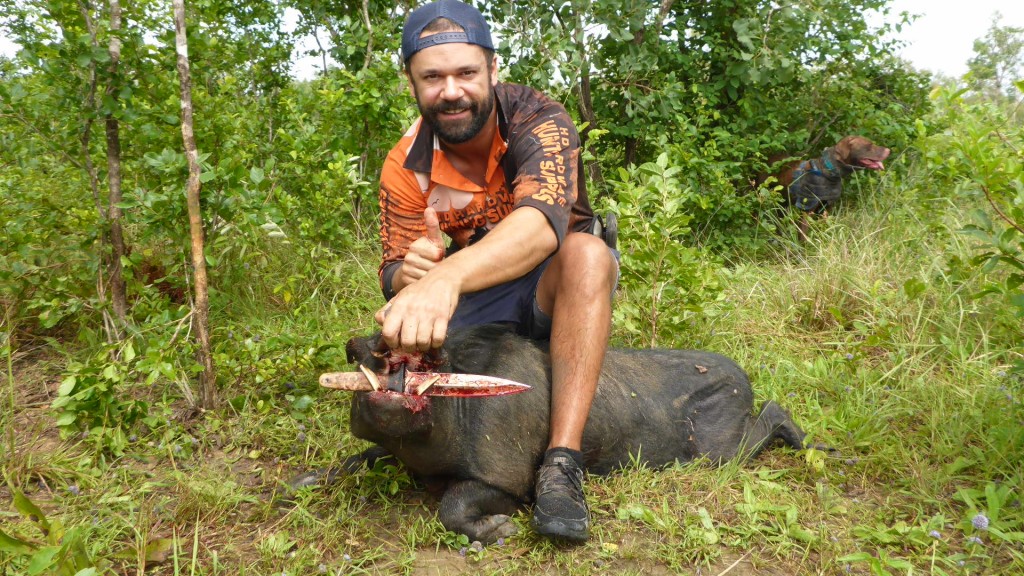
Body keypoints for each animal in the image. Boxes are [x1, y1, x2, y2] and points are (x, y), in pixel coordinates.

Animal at [298, 323, 807, 544]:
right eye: (355, 353)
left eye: (435, 360)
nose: (381, 343)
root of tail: (745, 379)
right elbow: (360, 460)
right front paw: (302, 482)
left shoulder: (508, 476)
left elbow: (452, 505)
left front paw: (499, 531)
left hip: (719, 450)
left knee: (773, 416)